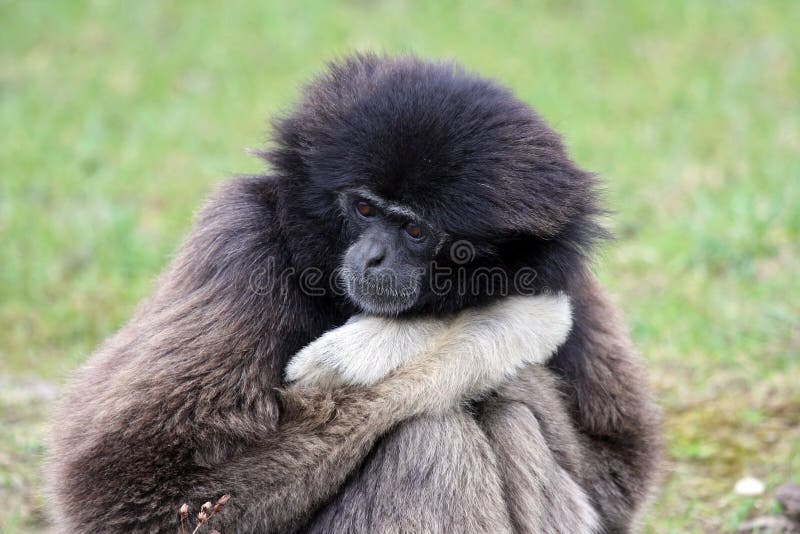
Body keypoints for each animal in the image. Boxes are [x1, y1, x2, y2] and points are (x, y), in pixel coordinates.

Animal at [47, 53, 663, 533]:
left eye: (414, 230)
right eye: (364, 209)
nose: (372, 257)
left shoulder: (564, 272)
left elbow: (614, 478)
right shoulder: (241, 239)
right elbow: (139, 491)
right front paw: (499, 325)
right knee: (431, 433)